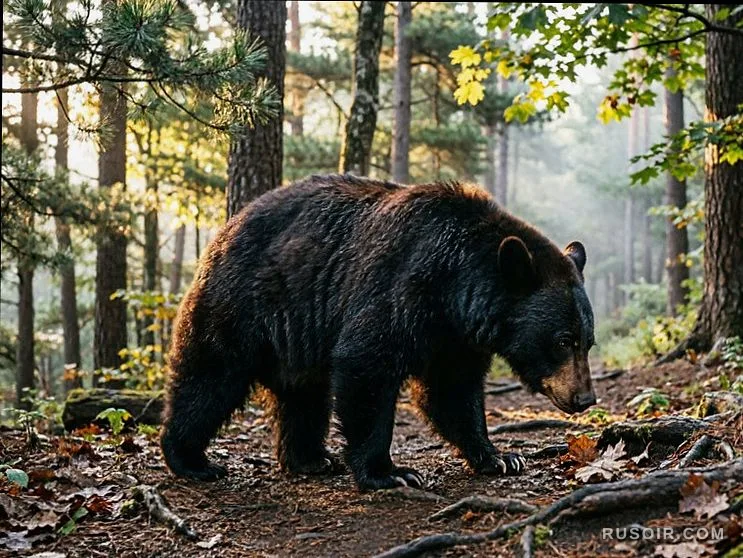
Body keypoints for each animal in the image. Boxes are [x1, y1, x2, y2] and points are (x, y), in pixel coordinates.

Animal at [160, 174, 596, 491]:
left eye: (588, 341)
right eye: (563, 341)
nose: (585, 398)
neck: (456, 285)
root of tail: (226, 228)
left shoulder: (455, 337)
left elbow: (453, 391)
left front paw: (500, 456)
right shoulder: (402, 288)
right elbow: (367, 363)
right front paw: (389, 472)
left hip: (297, 338)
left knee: (305, 395)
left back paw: (311, 458)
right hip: (244, 302)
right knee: (211, 377)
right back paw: (191, 459)